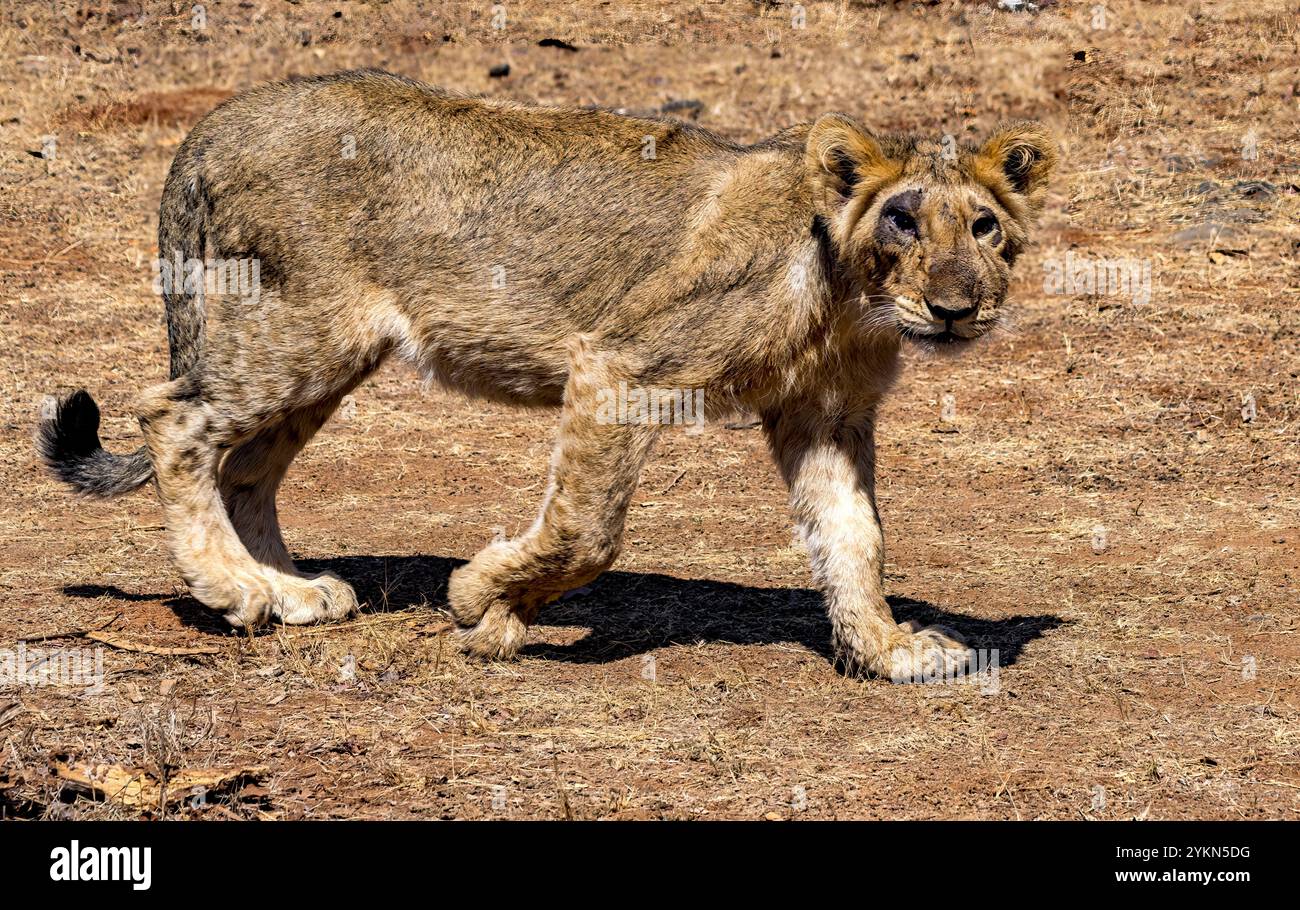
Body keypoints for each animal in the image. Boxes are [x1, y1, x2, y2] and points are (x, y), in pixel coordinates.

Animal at [39, 70, 1056, 680]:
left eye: (986, 227)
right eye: (902, 221)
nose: (959, 308)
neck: (852, 301)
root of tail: (212, 124)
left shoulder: (827, 417)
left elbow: (855, 537)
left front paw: (887, 650)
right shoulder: (620, 365)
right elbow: (587, 530)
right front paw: (484, 603)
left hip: (325, 354)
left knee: (246, 465)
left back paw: (290, 591)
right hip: (299, 332)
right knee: (170, 419)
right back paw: (236, 588)